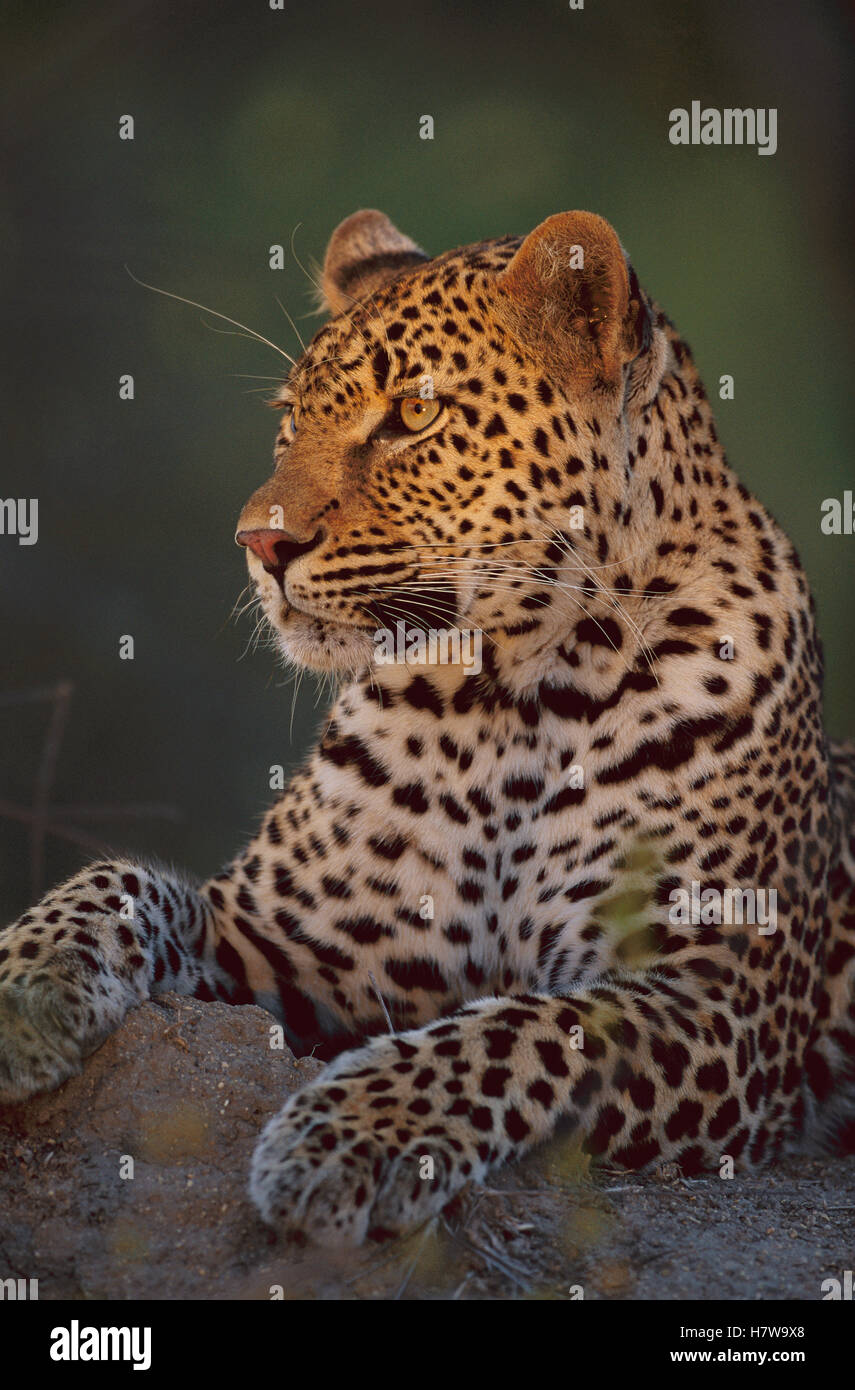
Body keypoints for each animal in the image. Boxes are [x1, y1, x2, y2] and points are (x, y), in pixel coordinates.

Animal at [2, 207, 854, 1248]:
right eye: (291, 421)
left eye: (413, 416)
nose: (258, 542)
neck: (511, 700)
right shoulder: (292, 946)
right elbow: (119, 880)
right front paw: (22, 990)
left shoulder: (718, 1000)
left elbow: (518, 1031)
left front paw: (345, 1139)